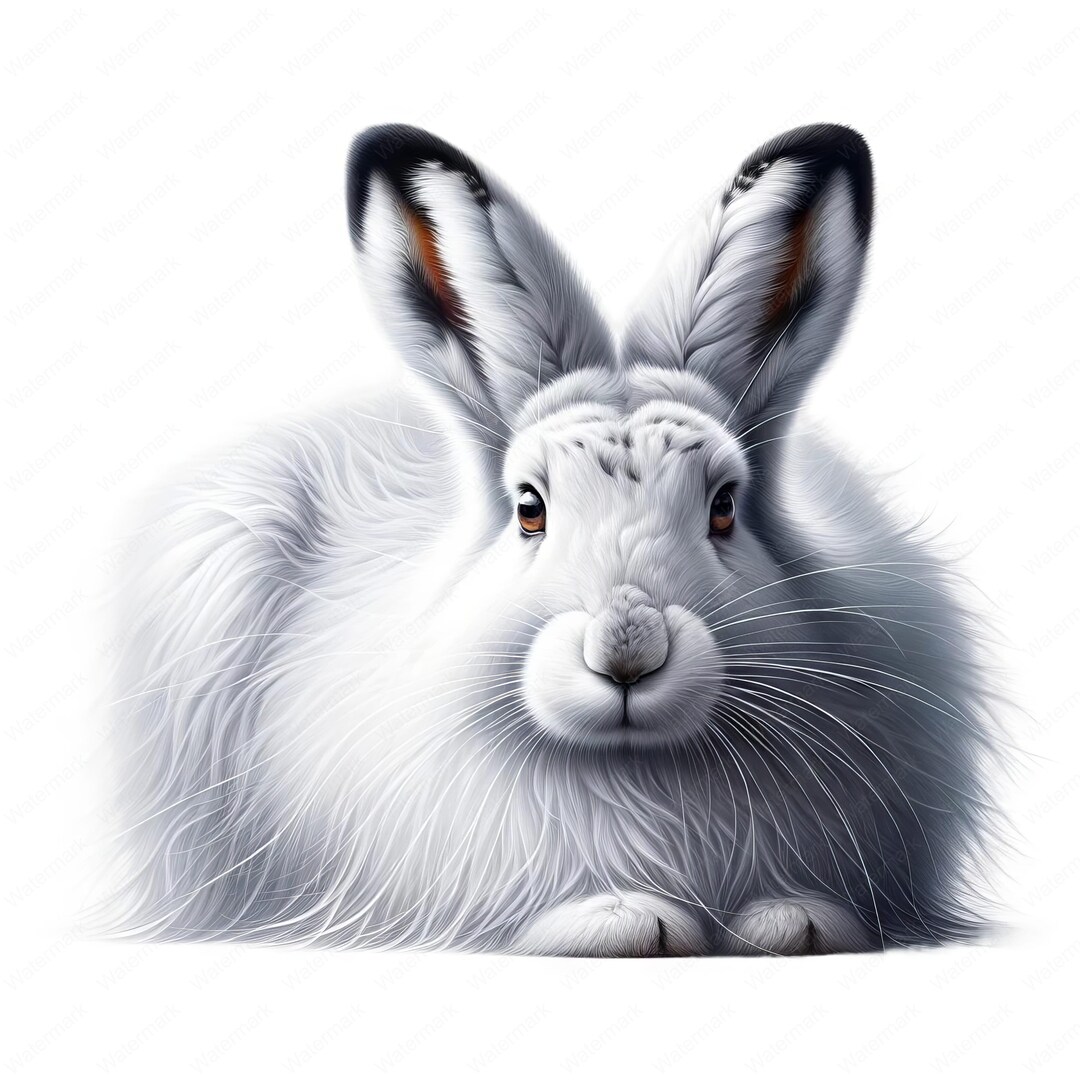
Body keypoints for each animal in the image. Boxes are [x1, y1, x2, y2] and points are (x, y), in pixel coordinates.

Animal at [100, 123, 1001, 957]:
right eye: (529, 507)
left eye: (724, 507)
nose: (628, 651)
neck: (634, 764)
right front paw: (622, 920)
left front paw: (797, 921)